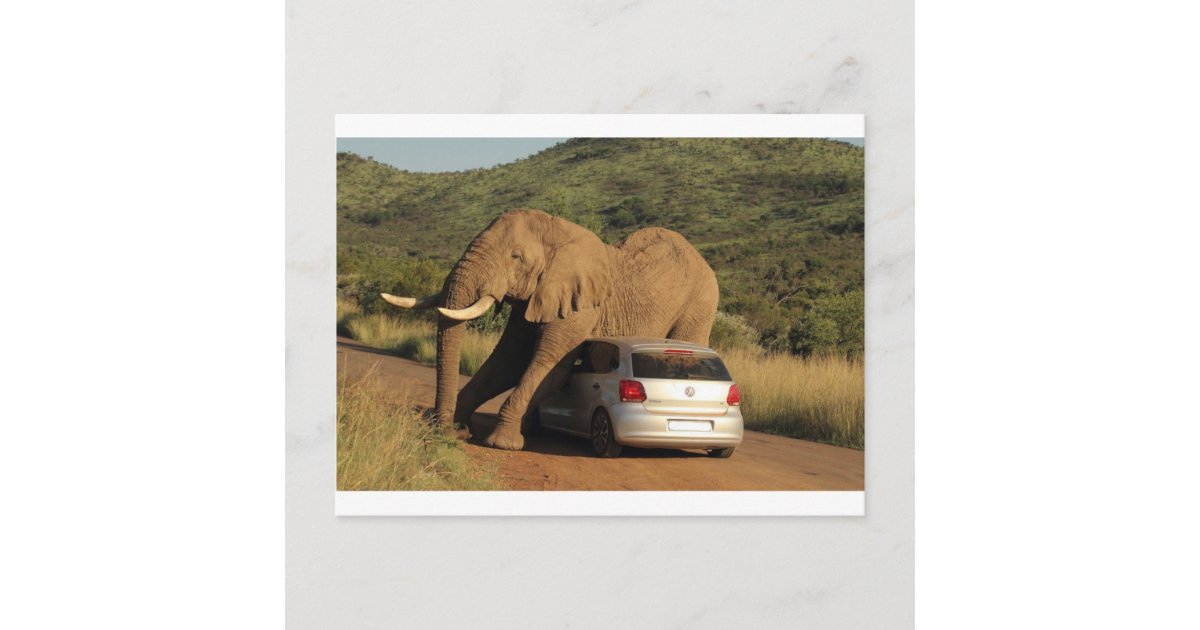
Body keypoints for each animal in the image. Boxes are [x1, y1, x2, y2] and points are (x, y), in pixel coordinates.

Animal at [381, 208, 719, 451]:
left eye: (516, 257)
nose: (440, 431)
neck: (558, 232)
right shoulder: (534, 297)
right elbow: (507, 363)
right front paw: (460, 429)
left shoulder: (580, 307)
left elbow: (548, 368)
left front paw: (502, 444)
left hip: (699, 304)